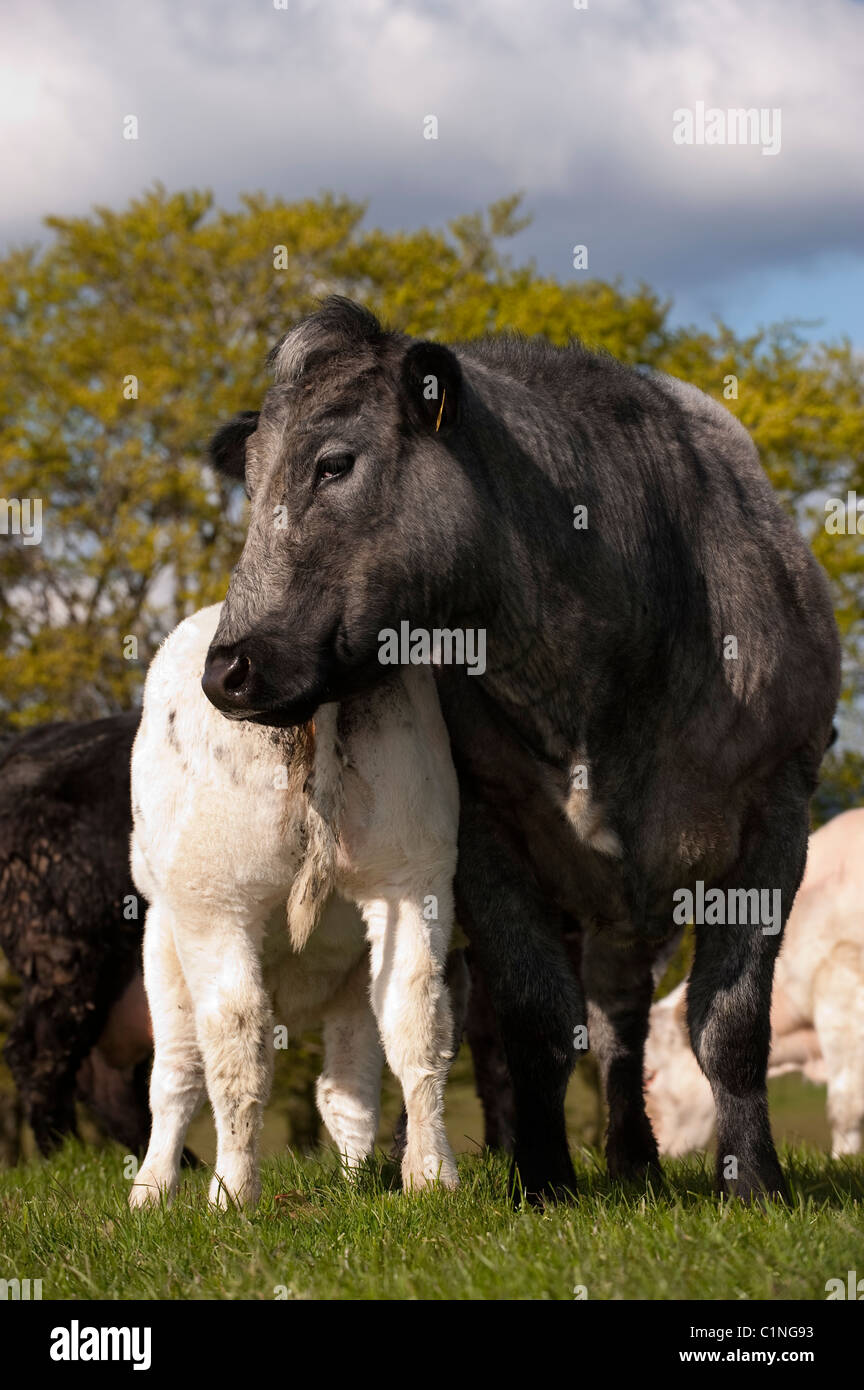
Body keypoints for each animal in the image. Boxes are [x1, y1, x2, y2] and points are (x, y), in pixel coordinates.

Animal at [129, 603, 460, 1209]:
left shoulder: (163, 928)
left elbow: (175, 1074)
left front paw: (150, 1192)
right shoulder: (356, 971)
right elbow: (350, 1088)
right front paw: (358, 1184)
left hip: (214, 893)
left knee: (235, 1036)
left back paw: (231, 1194)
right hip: (412, 868)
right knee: (416, 1017)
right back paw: (431, 1178)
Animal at [201, 296, 840, 1204]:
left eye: (334, 464)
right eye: (249, 484)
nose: (228, 668)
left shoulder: (777, 813)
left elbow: (729, 1022)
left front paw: (752, 1178)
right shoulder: (485, 836)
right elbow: (534, 1018)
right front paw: (541, 1177)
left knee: (616, 1021)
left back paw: (633, 1158)